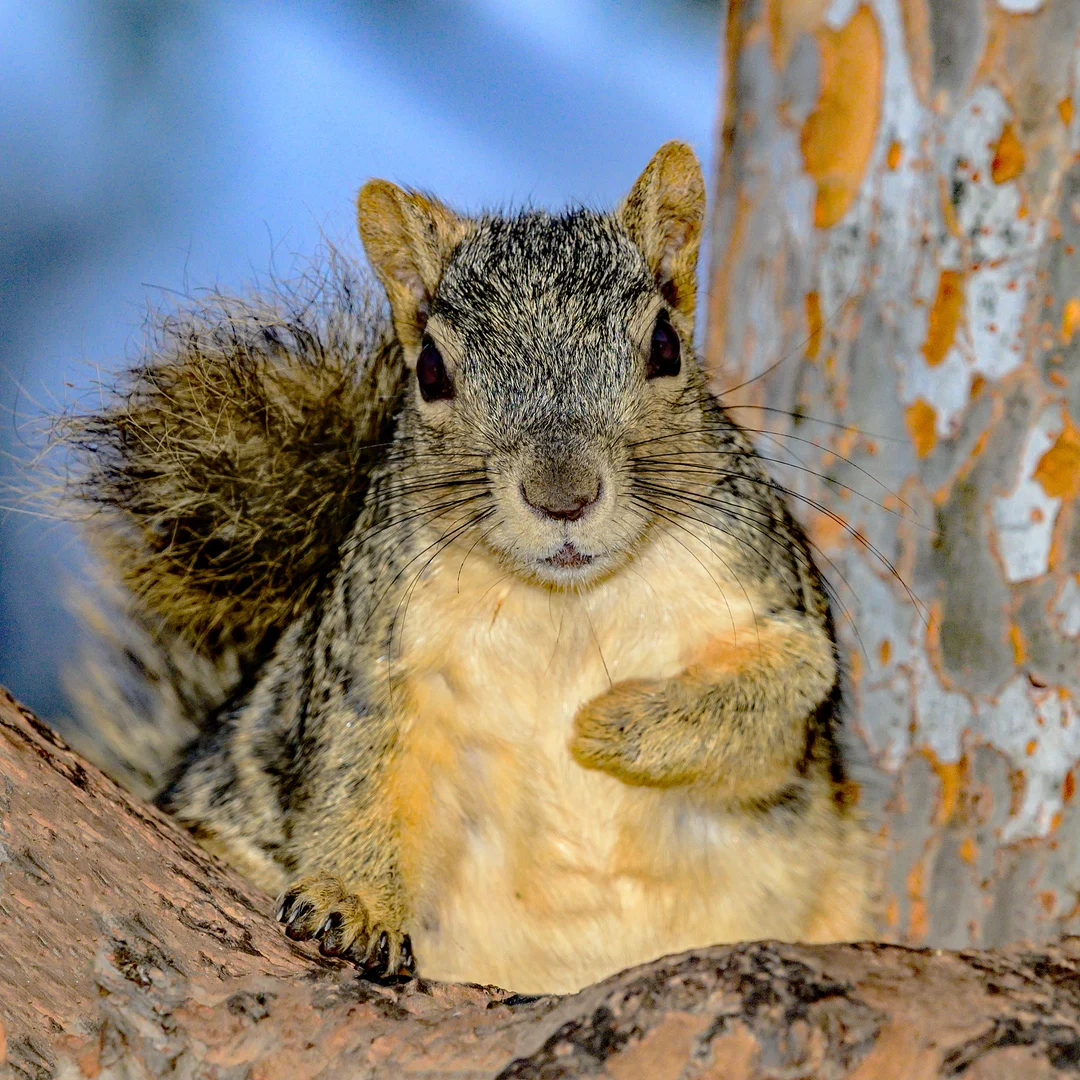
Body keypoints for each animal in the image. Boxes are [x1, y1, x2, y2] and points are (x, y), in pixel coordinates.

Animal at [63, 142, 873, 994]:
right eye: (428, 370)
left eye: (665, 346)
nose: (562, 495)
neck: (567, 606)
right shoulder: (375, 657)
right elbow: (357, 778)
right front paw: (352, 905)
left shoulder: (768, 600)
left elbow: (779, 699)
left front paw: (610, 724)